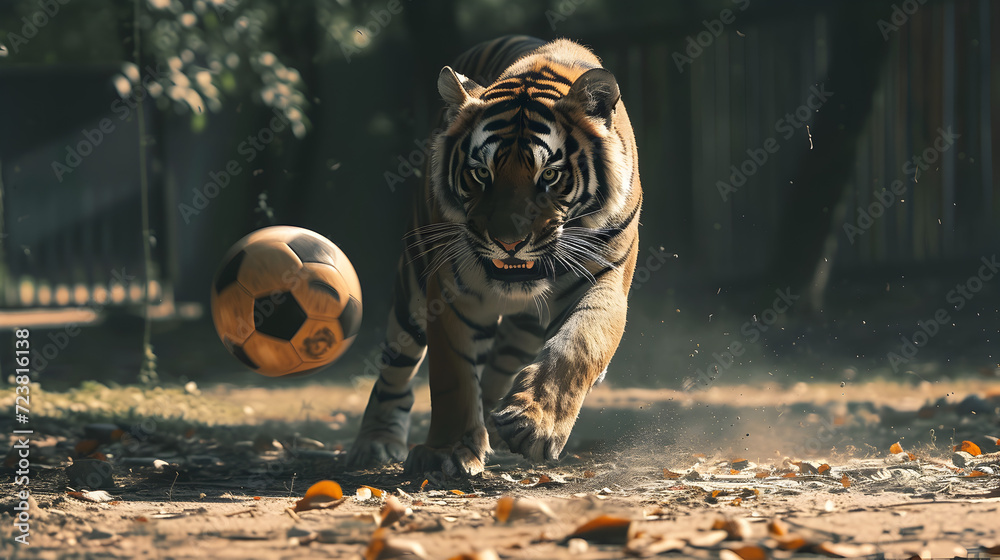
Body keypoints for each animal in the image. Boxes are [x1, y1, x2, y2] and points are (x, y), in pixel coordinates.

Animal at [347, 36, 642, 476]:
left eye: (549, 175)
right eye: (481, 173)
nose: (509, 242)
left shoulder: (605, 277)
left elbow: (579, 345)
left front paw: (532, 424)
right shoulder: (449, 291)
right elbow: (451, 377)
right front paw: (447, 451)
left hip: (523, 328)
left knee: (500, 364)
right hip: (413, 282)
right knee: (395, 369)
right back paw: (376, 443)